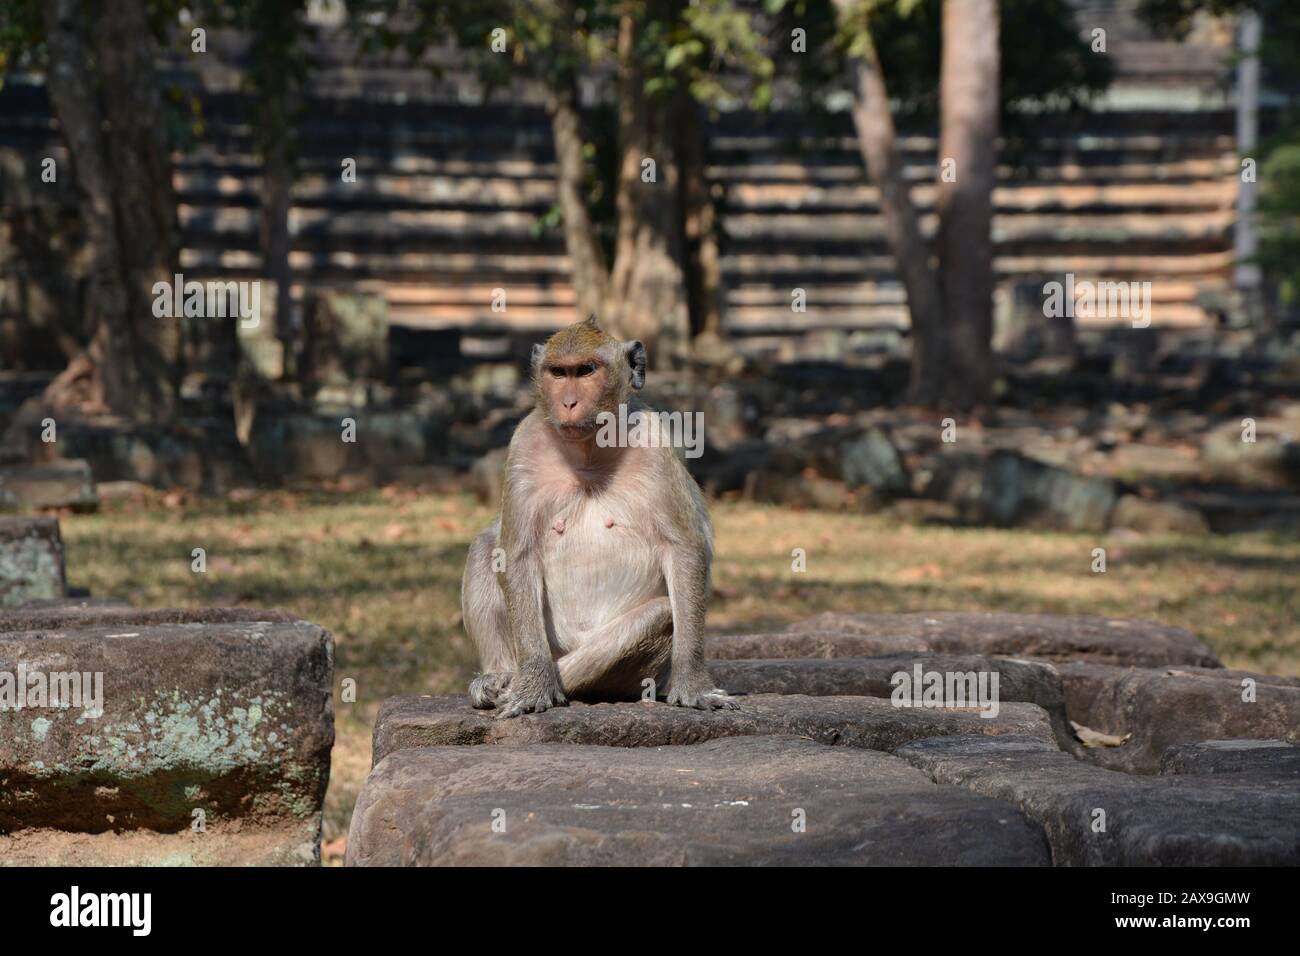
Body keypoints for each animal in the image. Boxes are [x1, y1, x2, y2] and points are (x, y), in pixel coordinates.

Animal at [460, 315, 736, 719]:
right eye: (558, 372)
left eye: (586, 370)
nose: (568, 402)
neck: (588, 454)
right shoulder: (525, 443)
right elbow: (515, 555)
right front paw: (533, 684)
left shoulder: (654, 443)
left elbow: (683, 549)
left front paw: (692, 683)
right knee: (485, 544)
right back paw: (501, 675)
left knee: (661, 615)